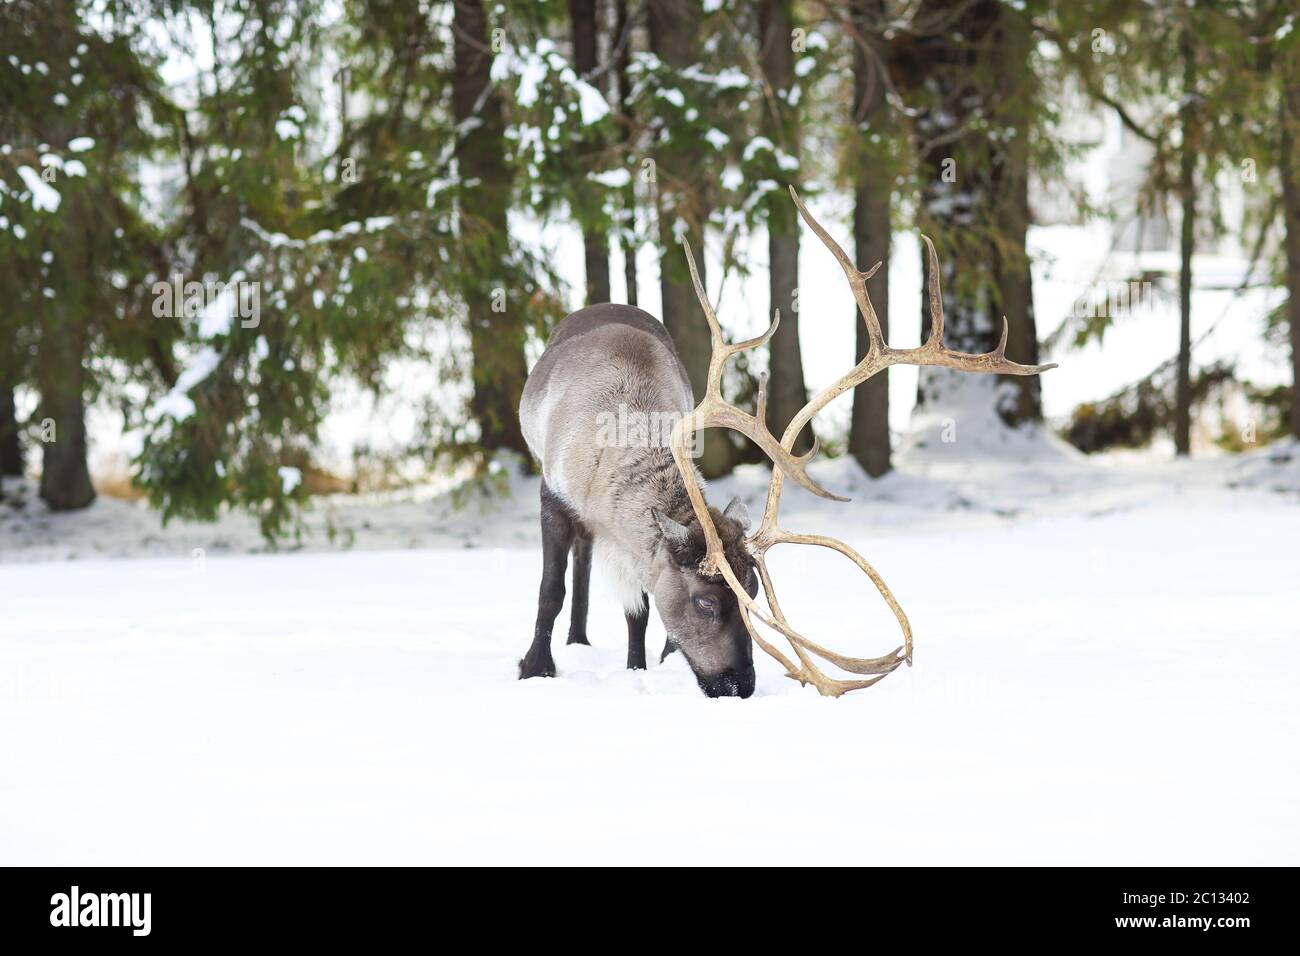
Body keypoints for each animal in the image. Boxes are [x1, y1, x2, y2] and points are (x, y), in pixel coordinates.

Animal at [518, 186, 1055, 698]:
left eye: (753, 593)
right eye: (705, 601)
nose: (740, 686)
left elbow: (640, 608)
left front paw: (639, 667)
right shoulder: (552, 492)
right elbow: (549, 589)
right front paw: (535, 668)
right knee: (580, 561)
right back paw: (576, 642)